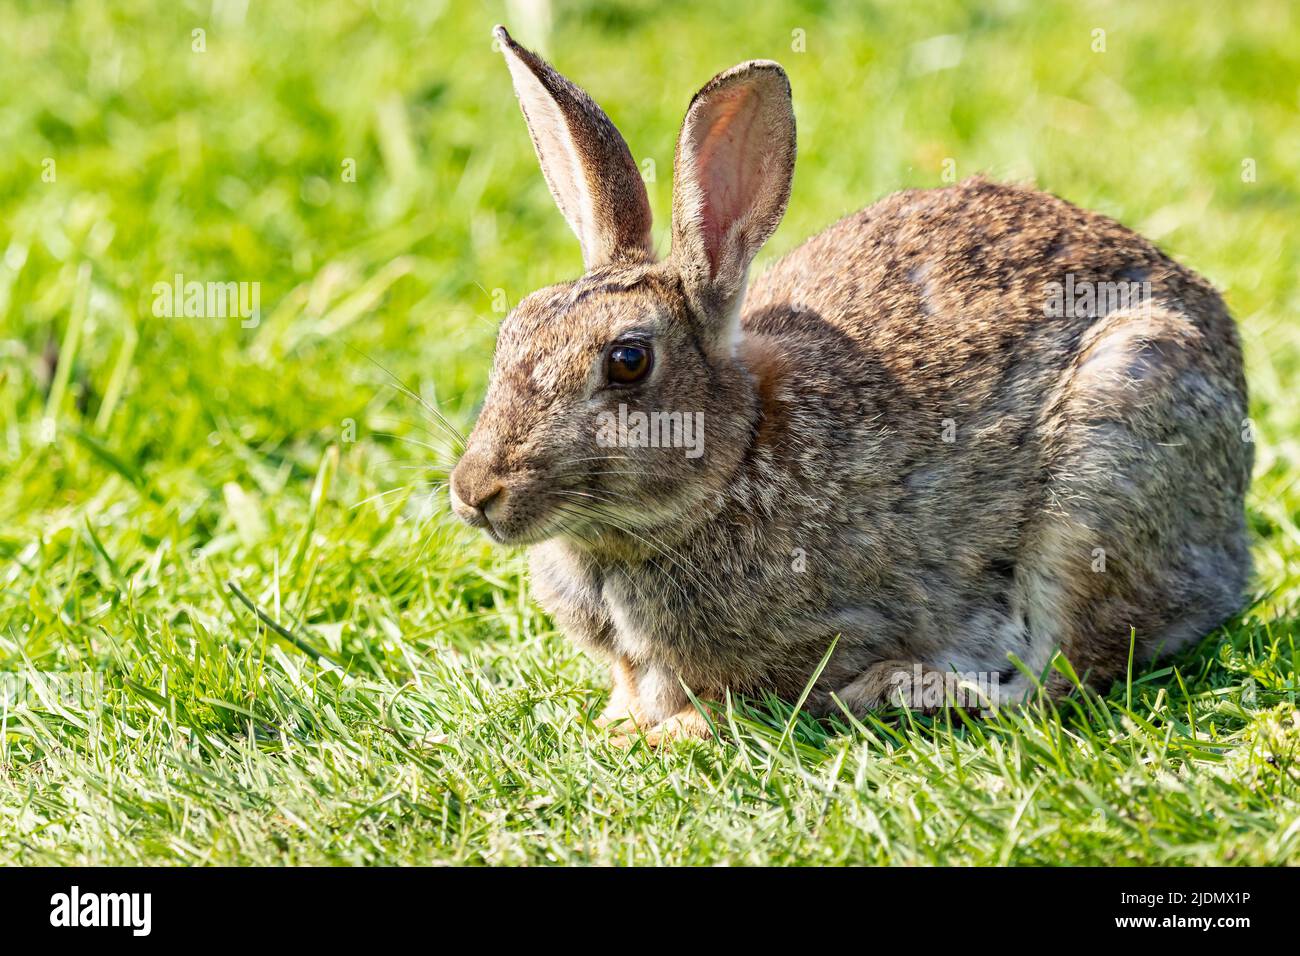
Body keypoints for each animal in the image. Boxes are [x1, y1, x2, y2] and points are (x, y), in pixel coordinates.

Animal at [450, 26, 1253, 744]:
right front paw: (619, 721)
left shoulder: (831, 631)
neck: (732, 463)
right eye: (511, 331)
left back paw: (908, 689)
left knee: (1059, 674)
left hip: (1112, 441)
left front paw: (673, 732)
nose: (474, 491)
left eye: (627, 361)